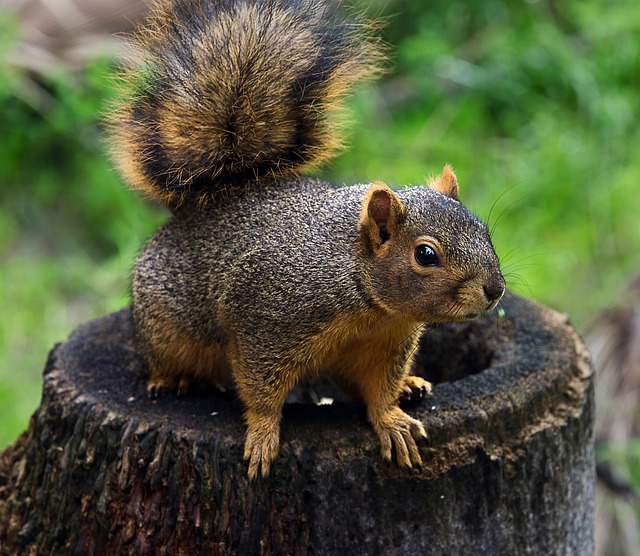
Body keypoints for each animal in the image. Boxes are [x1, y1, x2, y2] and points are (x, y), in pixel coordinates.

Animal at [108, 0, 506, 479]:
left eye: (483, 229)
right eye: (426, 254)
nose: (495, 289)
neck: (361, 294)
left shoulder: (382, 345)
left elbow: (379, 390)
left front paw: (392, 419)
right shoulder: (263, 322)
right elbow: (260, 389)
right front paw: (263, 436)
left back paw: (411, 385)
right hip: (165, 326)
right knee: (165, 358)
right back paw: (173, 378)